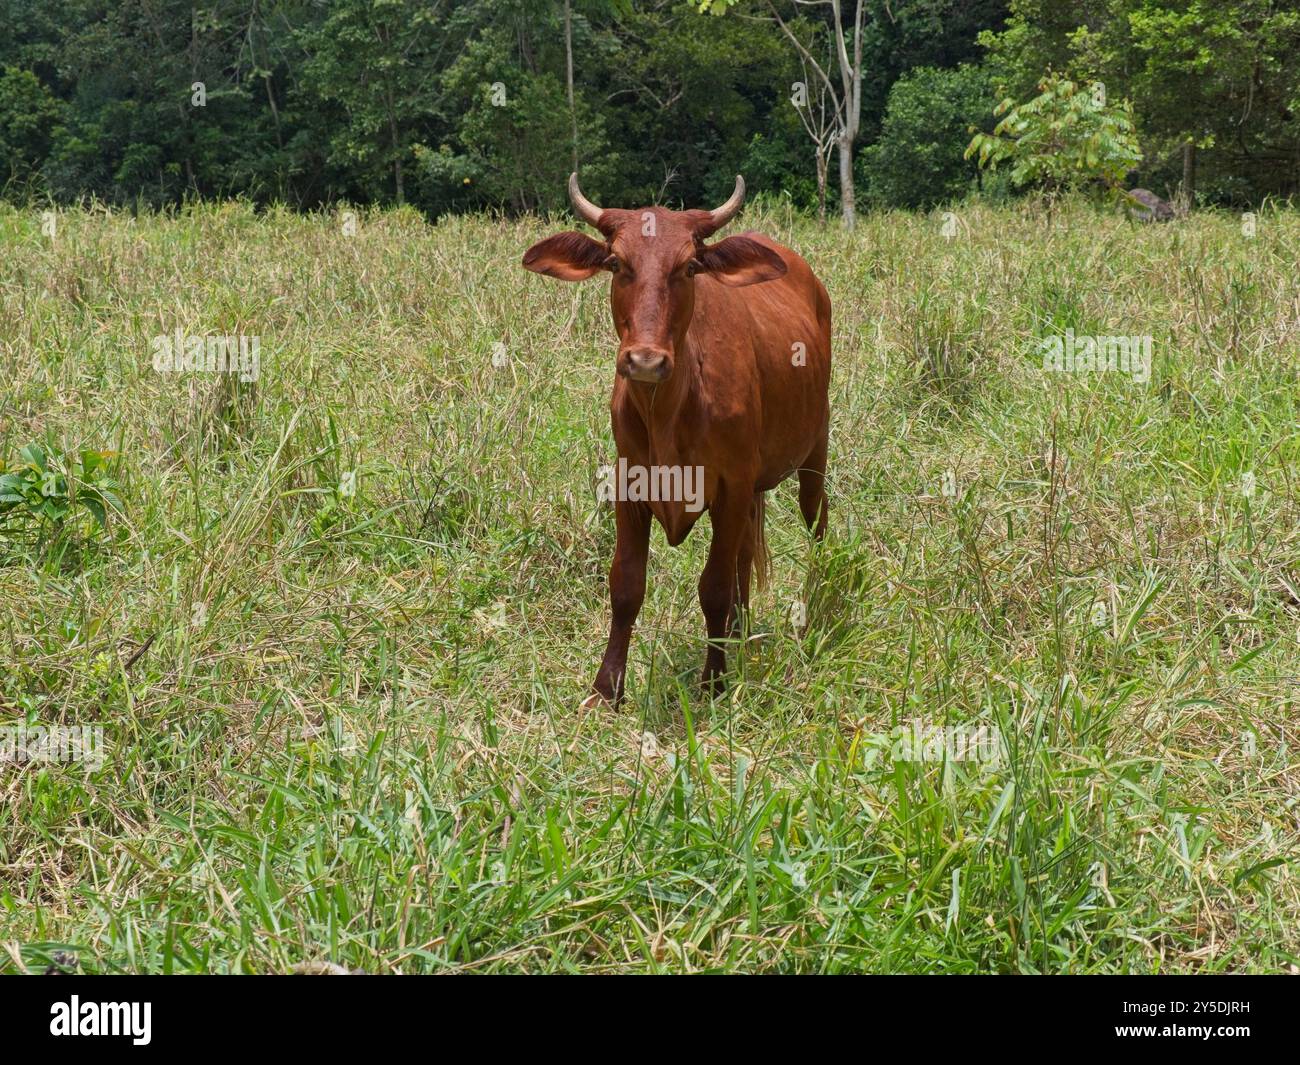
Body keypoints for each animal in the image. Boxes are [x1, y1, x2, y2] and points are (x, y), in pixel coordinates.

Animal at [522, 174, 832, 707]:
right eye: (616, 264)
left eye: (688, 266)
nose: (645, 360)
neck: (670, 410)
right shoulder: (631, 484)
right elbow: (626, 585)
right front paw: (607, 688)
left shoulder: (730, 488)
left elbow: (714, 587)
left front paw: (714, 681)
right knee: (745, 558)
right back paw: (741, 632)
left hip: (816, 446)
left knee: (816, 522)